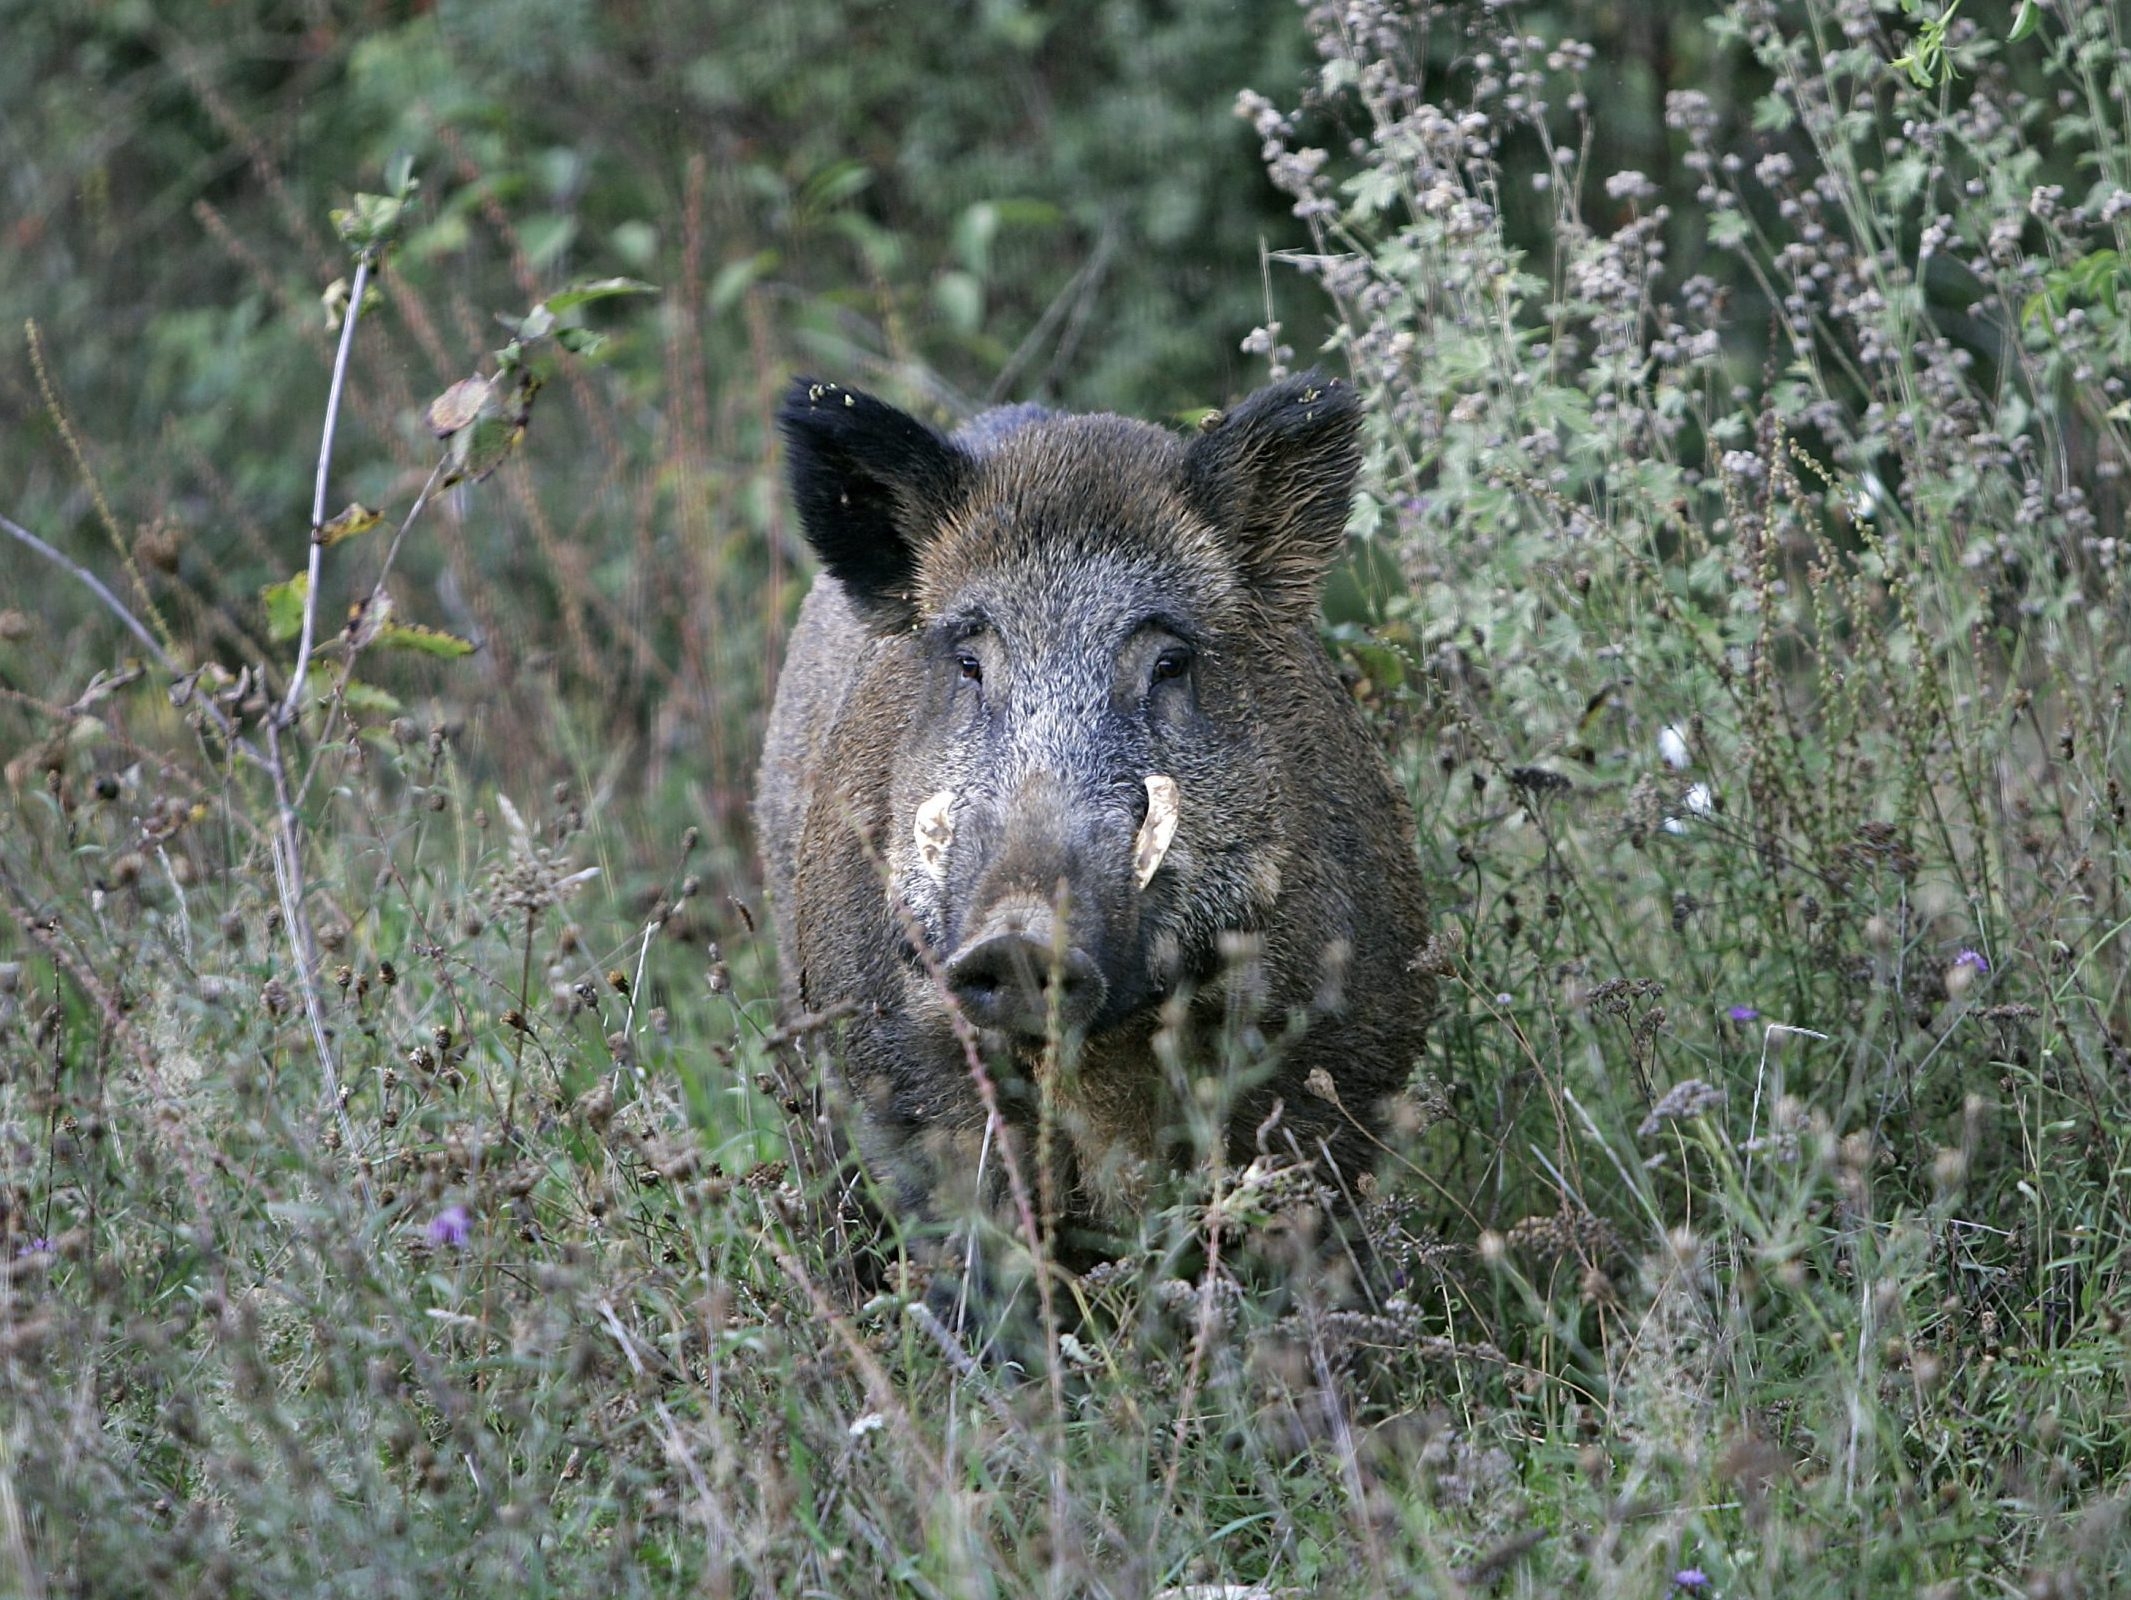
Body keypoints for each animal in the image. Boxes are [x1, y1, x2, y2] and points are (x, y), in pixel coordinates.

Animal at [756, 372, 1434, 1256]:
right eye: (969, 662)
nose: (1017, 936)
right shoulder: (892, 1065)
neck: (1103, 1058)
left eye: (1169, 662)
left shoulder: (1342, 1051)